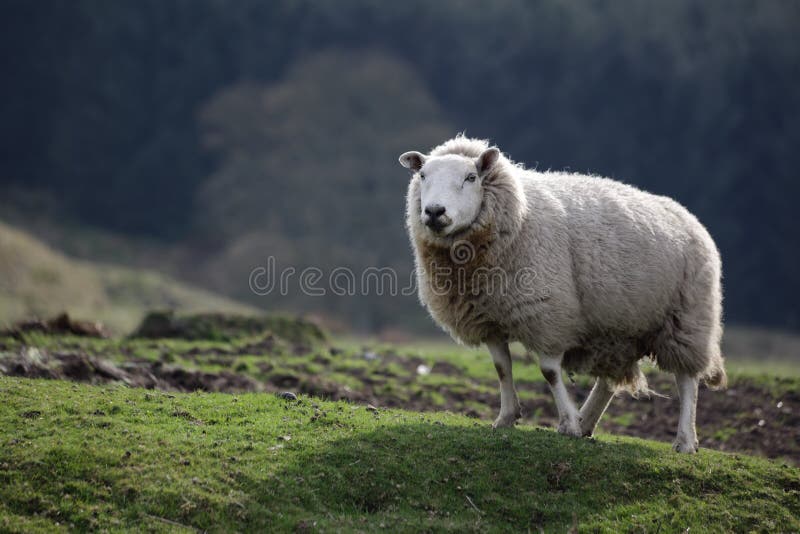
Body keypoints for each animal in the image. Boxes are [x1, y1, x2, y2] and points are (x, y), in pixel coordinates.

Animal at [398, 135, 726, 453]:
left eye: (470, 177)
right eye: (423, 175)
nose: (434, 212)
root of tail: (687, 215)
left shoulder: (548, 315)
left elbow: (549, 372)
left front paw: (566, 423)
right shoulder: (489, 317)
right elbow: (502, 369)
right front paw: (507, 418)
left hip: (687, 318)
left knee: (687, 380)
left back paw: (685, 440)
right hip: (621, 326)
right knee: (608, 381)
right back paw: (587, 422)